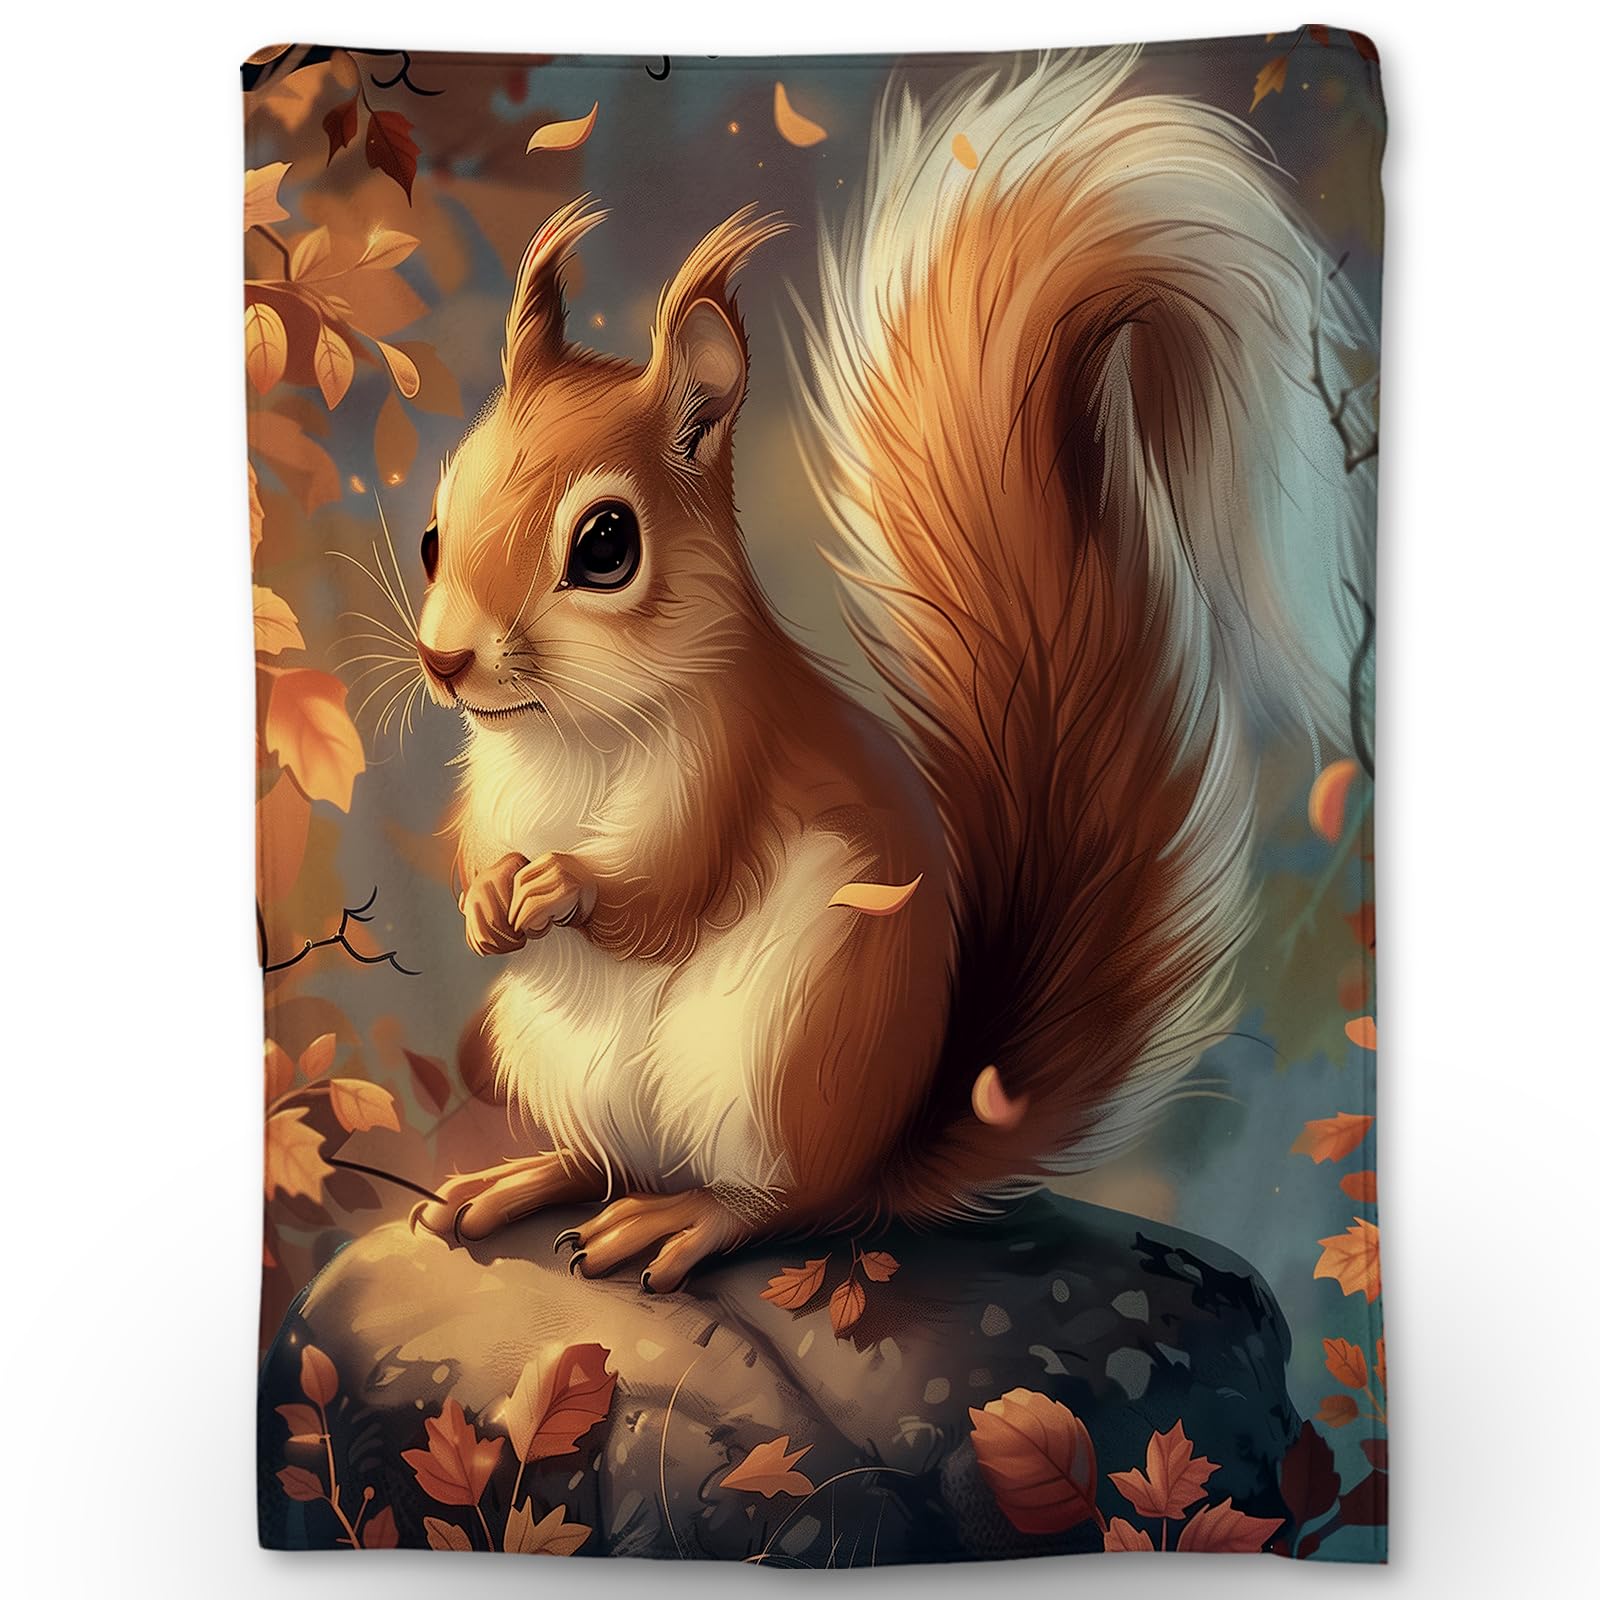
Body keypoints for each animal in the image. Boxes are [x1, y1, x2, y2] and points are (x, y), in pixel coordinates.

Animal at [409, 49, 1373, 1292]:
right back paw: (521, 1179)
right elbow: (471, 842)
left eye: (606, 545)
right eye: (433, 534)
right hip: (542, 1045)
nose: (444, 659)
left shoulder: (733, 758)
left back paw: (680, 1222)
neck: (568, 726)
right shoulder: (489, 779)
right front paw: (487, 894)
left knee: (781, 1201)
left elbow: (669, 888)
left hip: (787, 1051)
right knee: (606, 1155)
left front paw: (561, 885)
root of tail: (885, 1149)